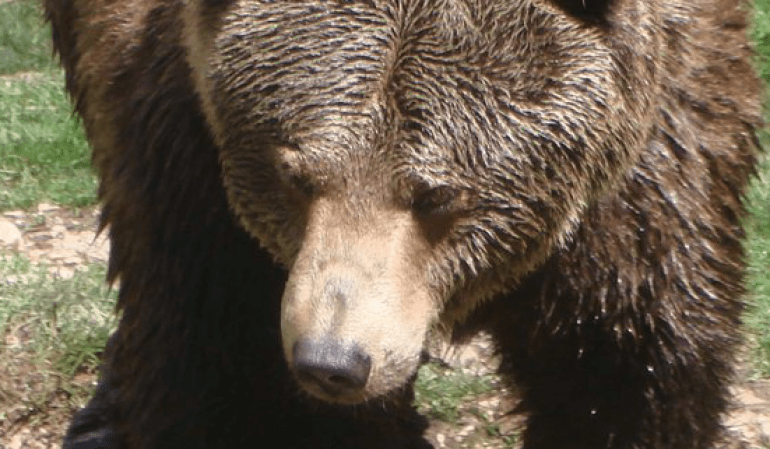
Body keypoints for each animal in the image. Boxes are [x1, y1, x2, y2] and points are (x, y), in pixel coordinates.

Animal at [45, 0, 764, 447]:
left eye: (436, 194)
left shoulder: (644, 173)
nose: (332, 360)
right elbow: (220, 370)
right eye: (294, 175)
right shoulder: (187, 159)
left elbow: (625, 361)